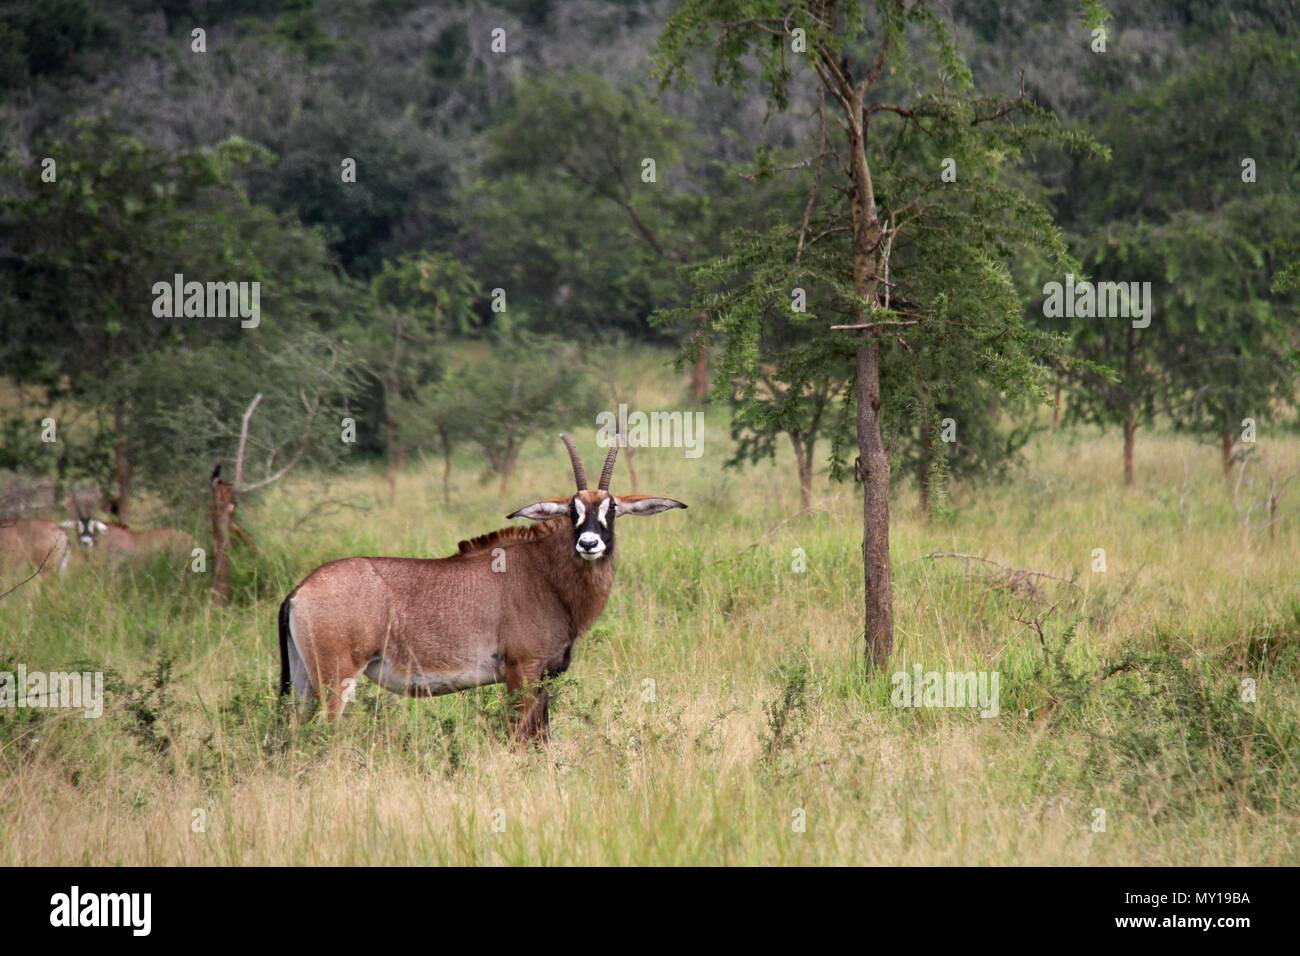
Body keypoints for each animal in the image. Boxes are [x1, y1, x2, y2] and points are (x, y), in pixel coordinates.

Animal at [278, 434, 686, 740]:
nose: (589, 544)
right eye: (573, 509)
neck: (545, 575)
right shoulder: (522, 670)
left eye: (611, 508)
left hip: (305, 683)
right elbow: (523, 737)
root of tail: (300, 590)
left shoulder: (542, 678)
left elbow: (543, 736)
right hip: (336, 680)